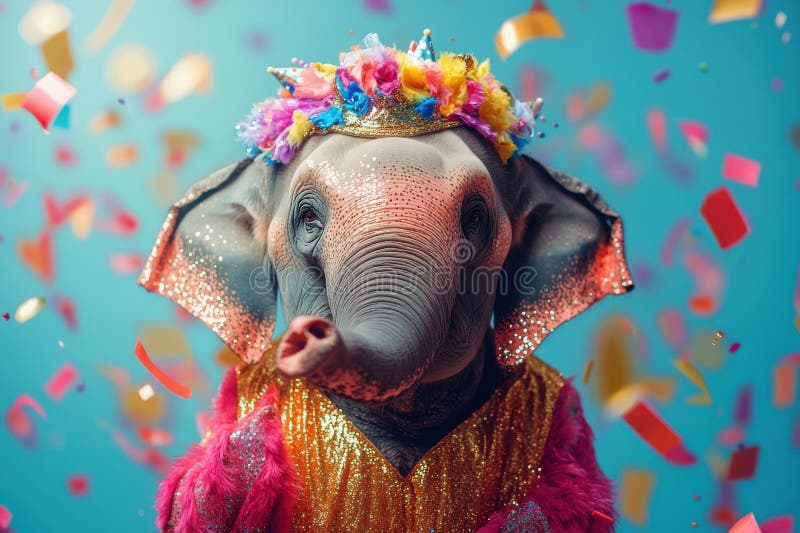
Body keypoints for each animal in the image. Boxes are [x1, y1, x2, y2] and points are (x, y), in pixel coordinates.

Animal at [138, 126, 633, 532]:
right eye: (309, 217)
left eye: (474, 217)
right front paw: (253, 434)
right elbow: (185, 507)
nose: (309, 335)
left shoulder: (564, 410)